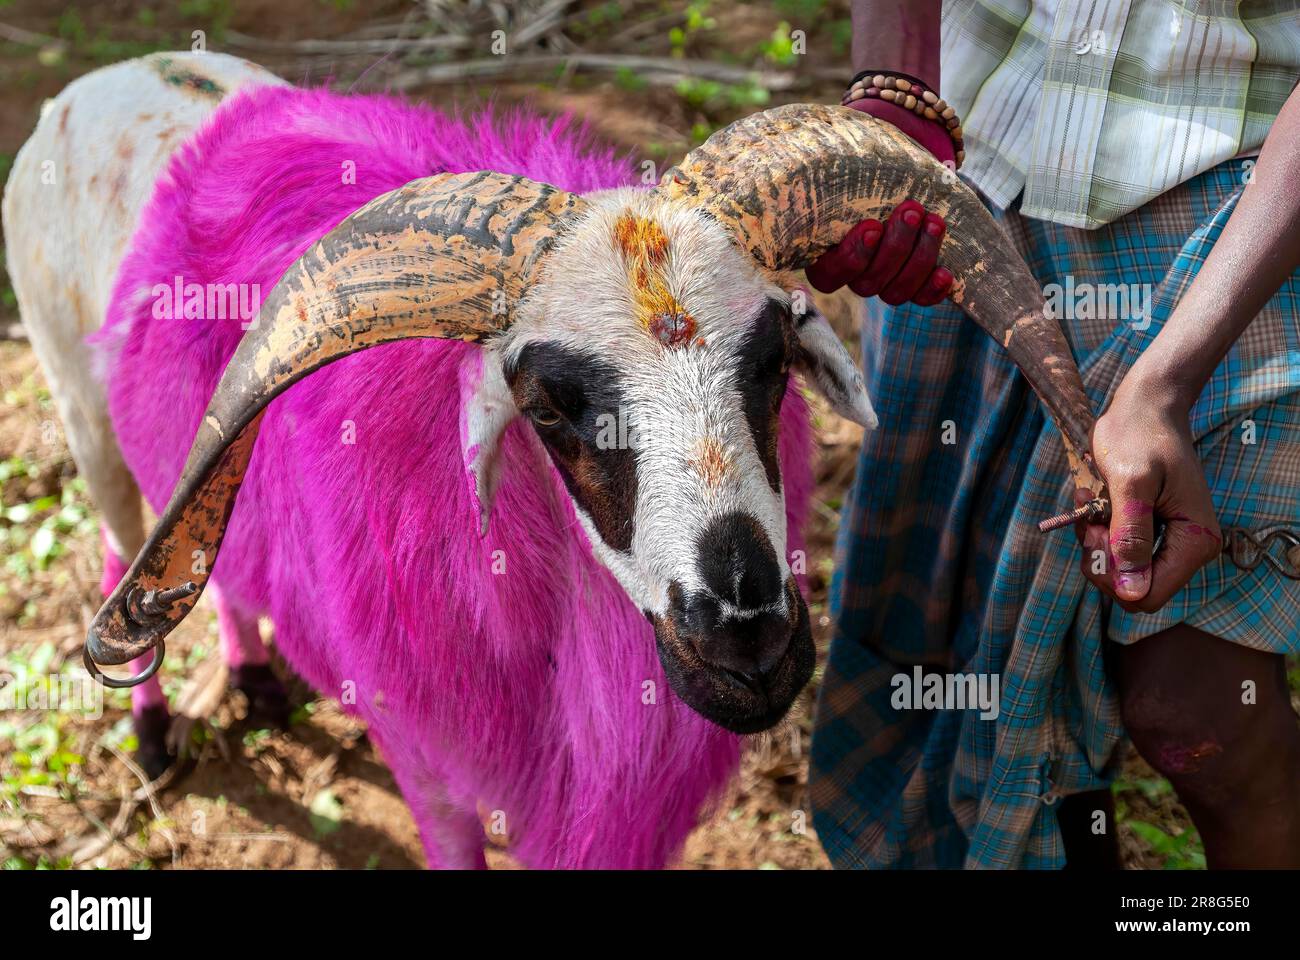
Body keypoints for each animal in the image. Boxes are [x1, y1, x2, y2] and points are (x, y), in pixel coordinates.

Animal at [9, 53, 1098, 868]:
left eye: (775, 361)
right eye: (547, 405)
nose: (746, 640)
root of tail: (106, 77)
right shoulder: (431, 773)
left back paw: (258, 679)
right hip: (82, 416)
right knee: (124, 545)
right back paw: (152, 736)